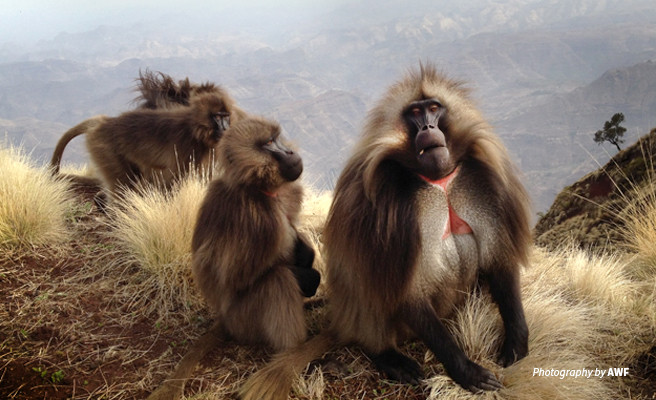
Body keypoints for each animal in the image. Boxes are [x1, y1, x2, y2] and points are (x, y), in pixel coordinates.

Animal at [145, 117, 321, 400]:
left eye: (277, 138)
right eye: (268, 143)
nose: (290, 152)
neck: (261, 190)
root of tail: (225, 321)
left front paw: (306, 253)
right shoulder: (259, 221)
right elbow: (238, 277)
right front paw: (308, 274)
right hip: (243, 321)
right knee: (278, 281)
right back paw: (291, 354)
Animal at [241, 64, 532, 400]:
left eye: (434, 108)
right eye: (414, 112)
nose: (427, 127)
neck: (439, 181)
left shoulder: (481, 184)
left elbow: (498, 262)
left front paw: (517, 341)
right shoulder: (389, 212)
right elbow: (404, 289)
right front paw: (465, 370)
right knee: (369, 286)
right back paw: (387, 356)